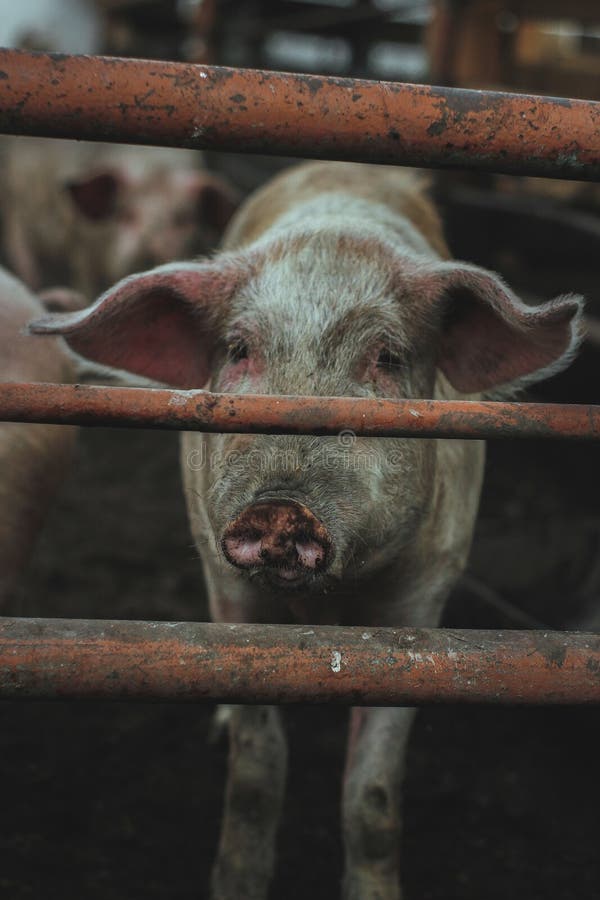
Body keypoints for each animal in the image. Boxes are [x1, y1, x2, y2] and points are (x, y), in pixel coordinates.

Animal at [29, 160, 583, 899]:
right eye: (238, 348)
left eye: (387, 357)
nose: (278, 506)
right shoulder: (228, 583)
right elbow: (257, 770)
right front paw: (236, 882)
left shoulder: (423, 599)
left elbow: (372, 792)